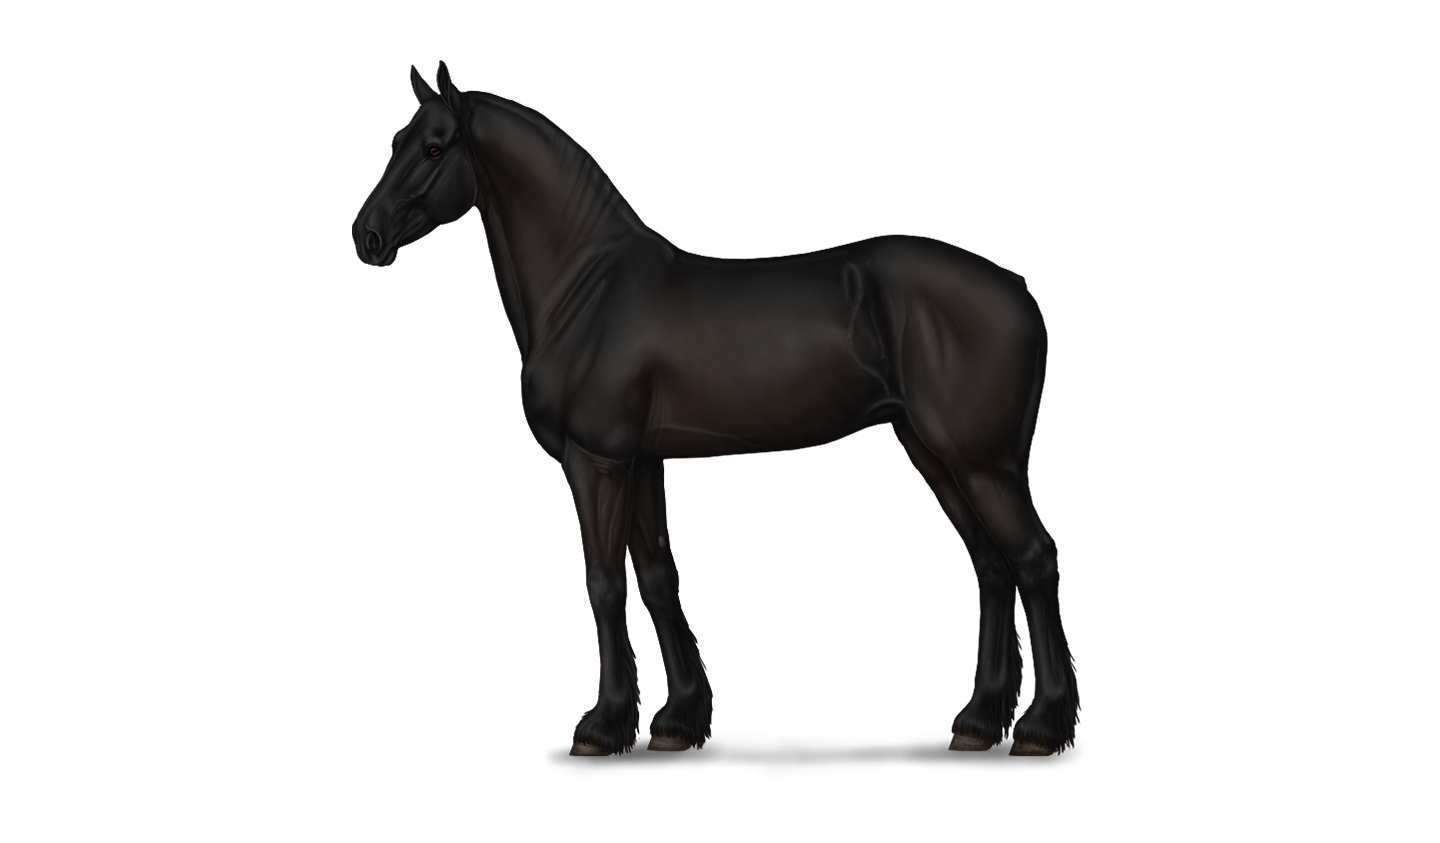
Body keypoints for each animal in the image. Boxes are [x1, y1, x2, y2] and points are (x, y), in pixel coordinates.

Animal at [353, 63, 1078, 757]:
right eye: (393, 142)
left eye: (434, 145)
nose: (369, 235)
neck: (587, 289)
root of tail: (1021, 296)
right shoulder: (640, 461)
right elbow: (657, 577)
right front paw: (677, 719)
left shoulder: (597, 461)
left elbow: (605, 583)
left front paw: (603, 725)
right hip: (930, 453)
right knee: (990, 567)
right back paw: (980, 720)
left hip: (981, 464)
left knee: (1033, 561)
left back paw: (1041, 727)